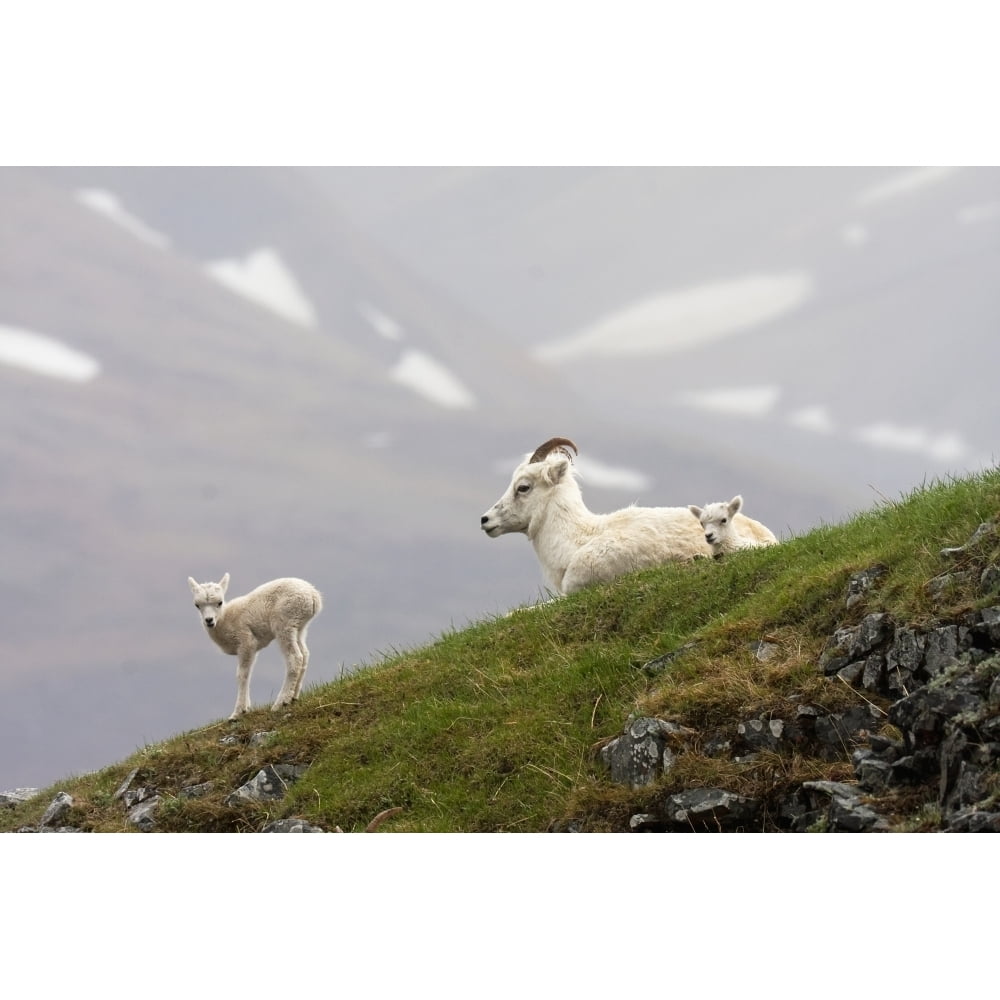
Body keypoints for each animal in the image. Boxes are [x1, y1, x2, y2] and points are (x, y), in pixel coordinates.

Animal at [187, 573, 322, 719]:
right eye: (197, 605)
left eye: (220, 602)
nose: (209, 621)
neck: (224, 620)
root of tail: (313, 596)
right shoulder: (252, 649)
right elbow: (248, 673)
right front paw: (246, 708)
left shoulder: (246, 642)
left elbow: (241, 675)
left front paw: (237, 713)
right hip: (300, 627)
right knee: (305, 654)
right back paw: (293, 697)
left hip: (284, 624)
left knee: (295, 658)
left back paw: (281, 702)